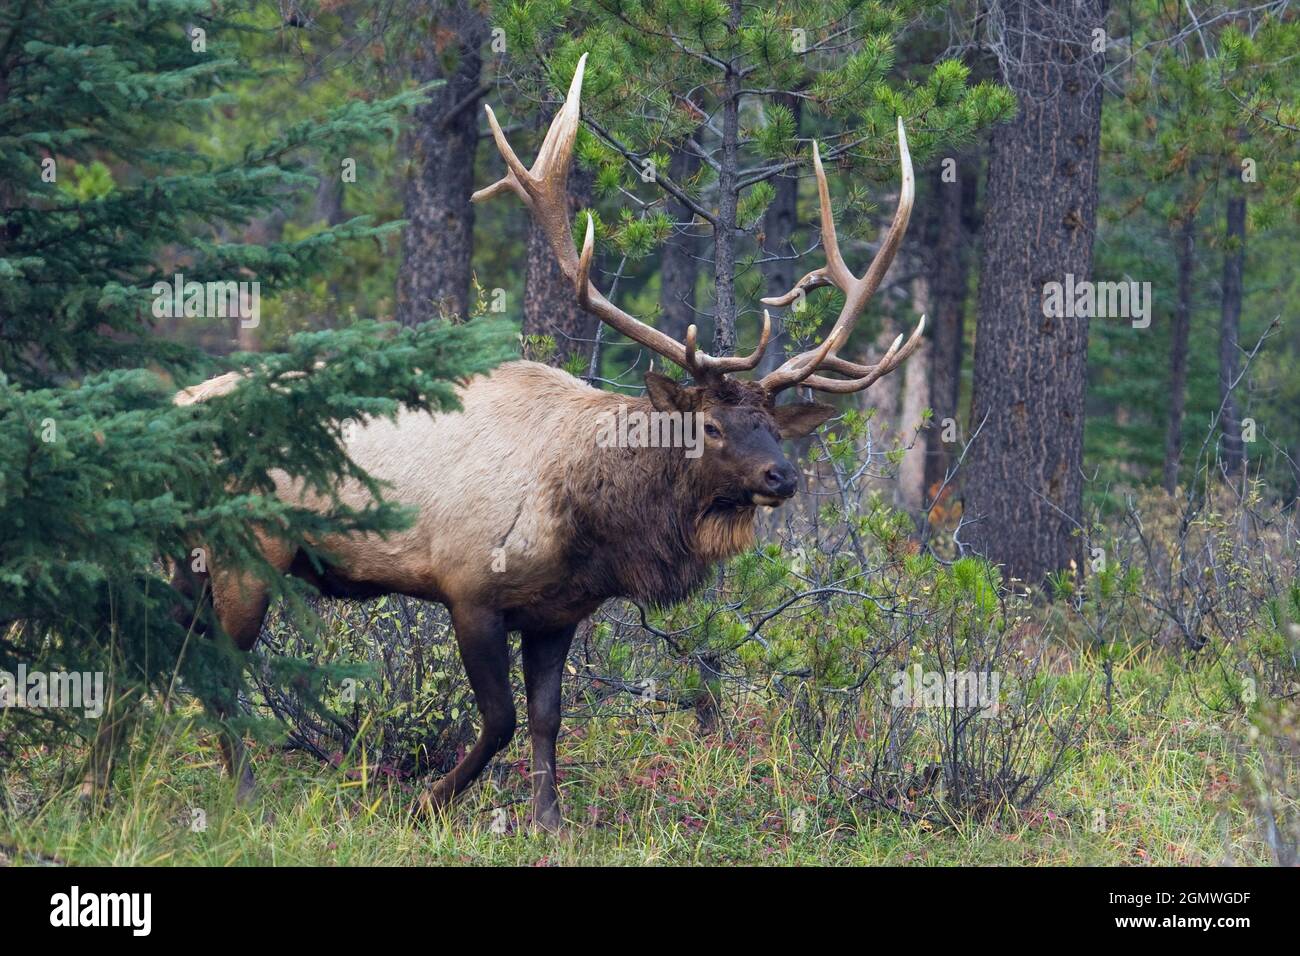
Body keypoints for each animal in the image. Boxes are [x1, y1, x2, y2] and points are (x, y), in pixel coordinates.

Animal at [160, 53, 924, 832]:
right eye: (710, 425)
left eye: (773, 426)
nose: (783, 478)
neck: (587, 526)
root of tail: (174, 409)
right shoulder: (468, 586)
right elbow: (497, 719)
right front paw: (427, 801)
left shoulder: (558, 613)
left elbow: (547, 718)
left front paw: (549, 819)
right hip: (245, 550)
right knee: (218, 663)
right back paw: (244, 794)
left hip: (191, 555)